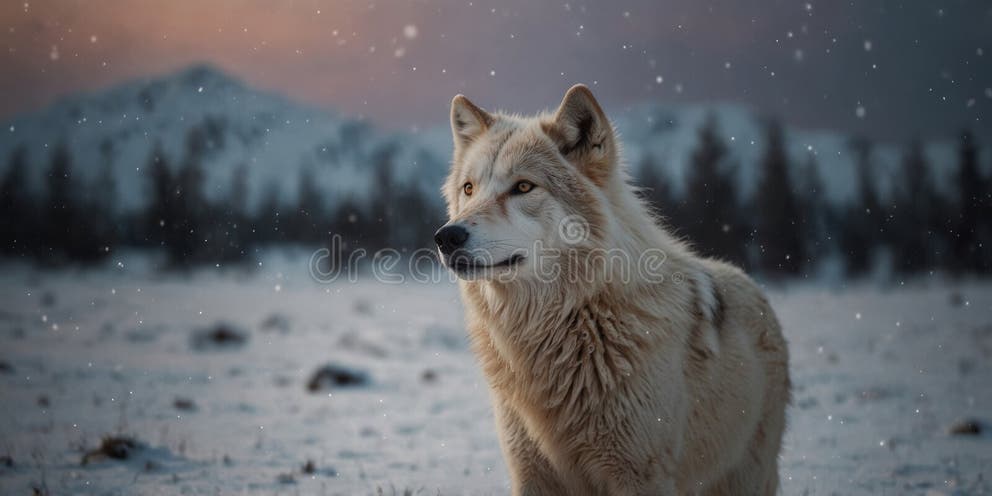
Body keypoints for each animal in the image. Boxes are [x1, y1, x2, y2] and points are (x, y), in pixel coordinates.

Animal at [434, 84, 790, 495]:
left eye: (523, 186)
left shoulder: (640, 474)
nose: (446, 237)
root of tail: (751, 284)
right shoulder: (530, 472)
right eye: (469, 188)